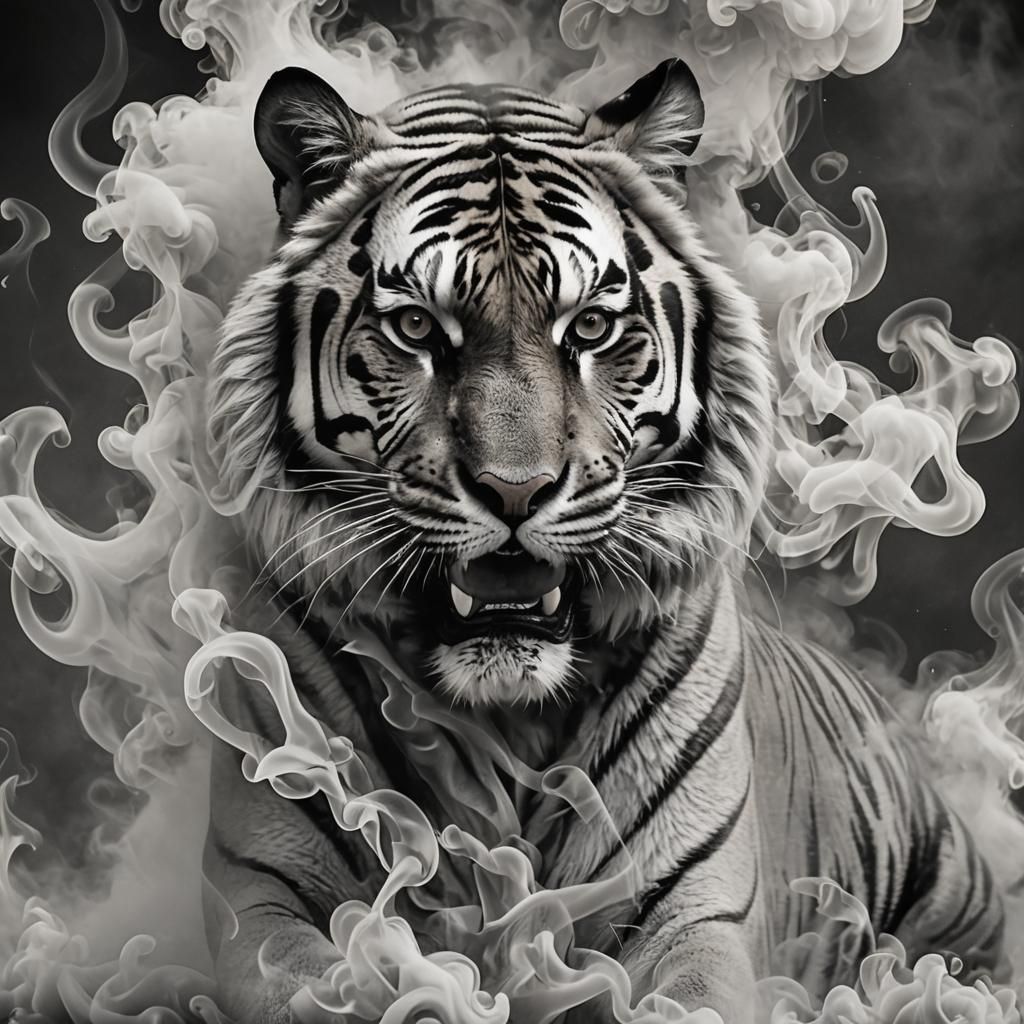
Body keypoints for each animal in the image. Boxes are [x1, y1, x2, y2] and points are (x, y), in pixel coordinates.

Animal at [204, 59, 1009, 1023]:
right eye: (417, 328)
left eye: (588, 327)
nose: (516, 489)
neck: (506, 719)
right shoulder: (264, 896)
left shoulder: (694, 913)